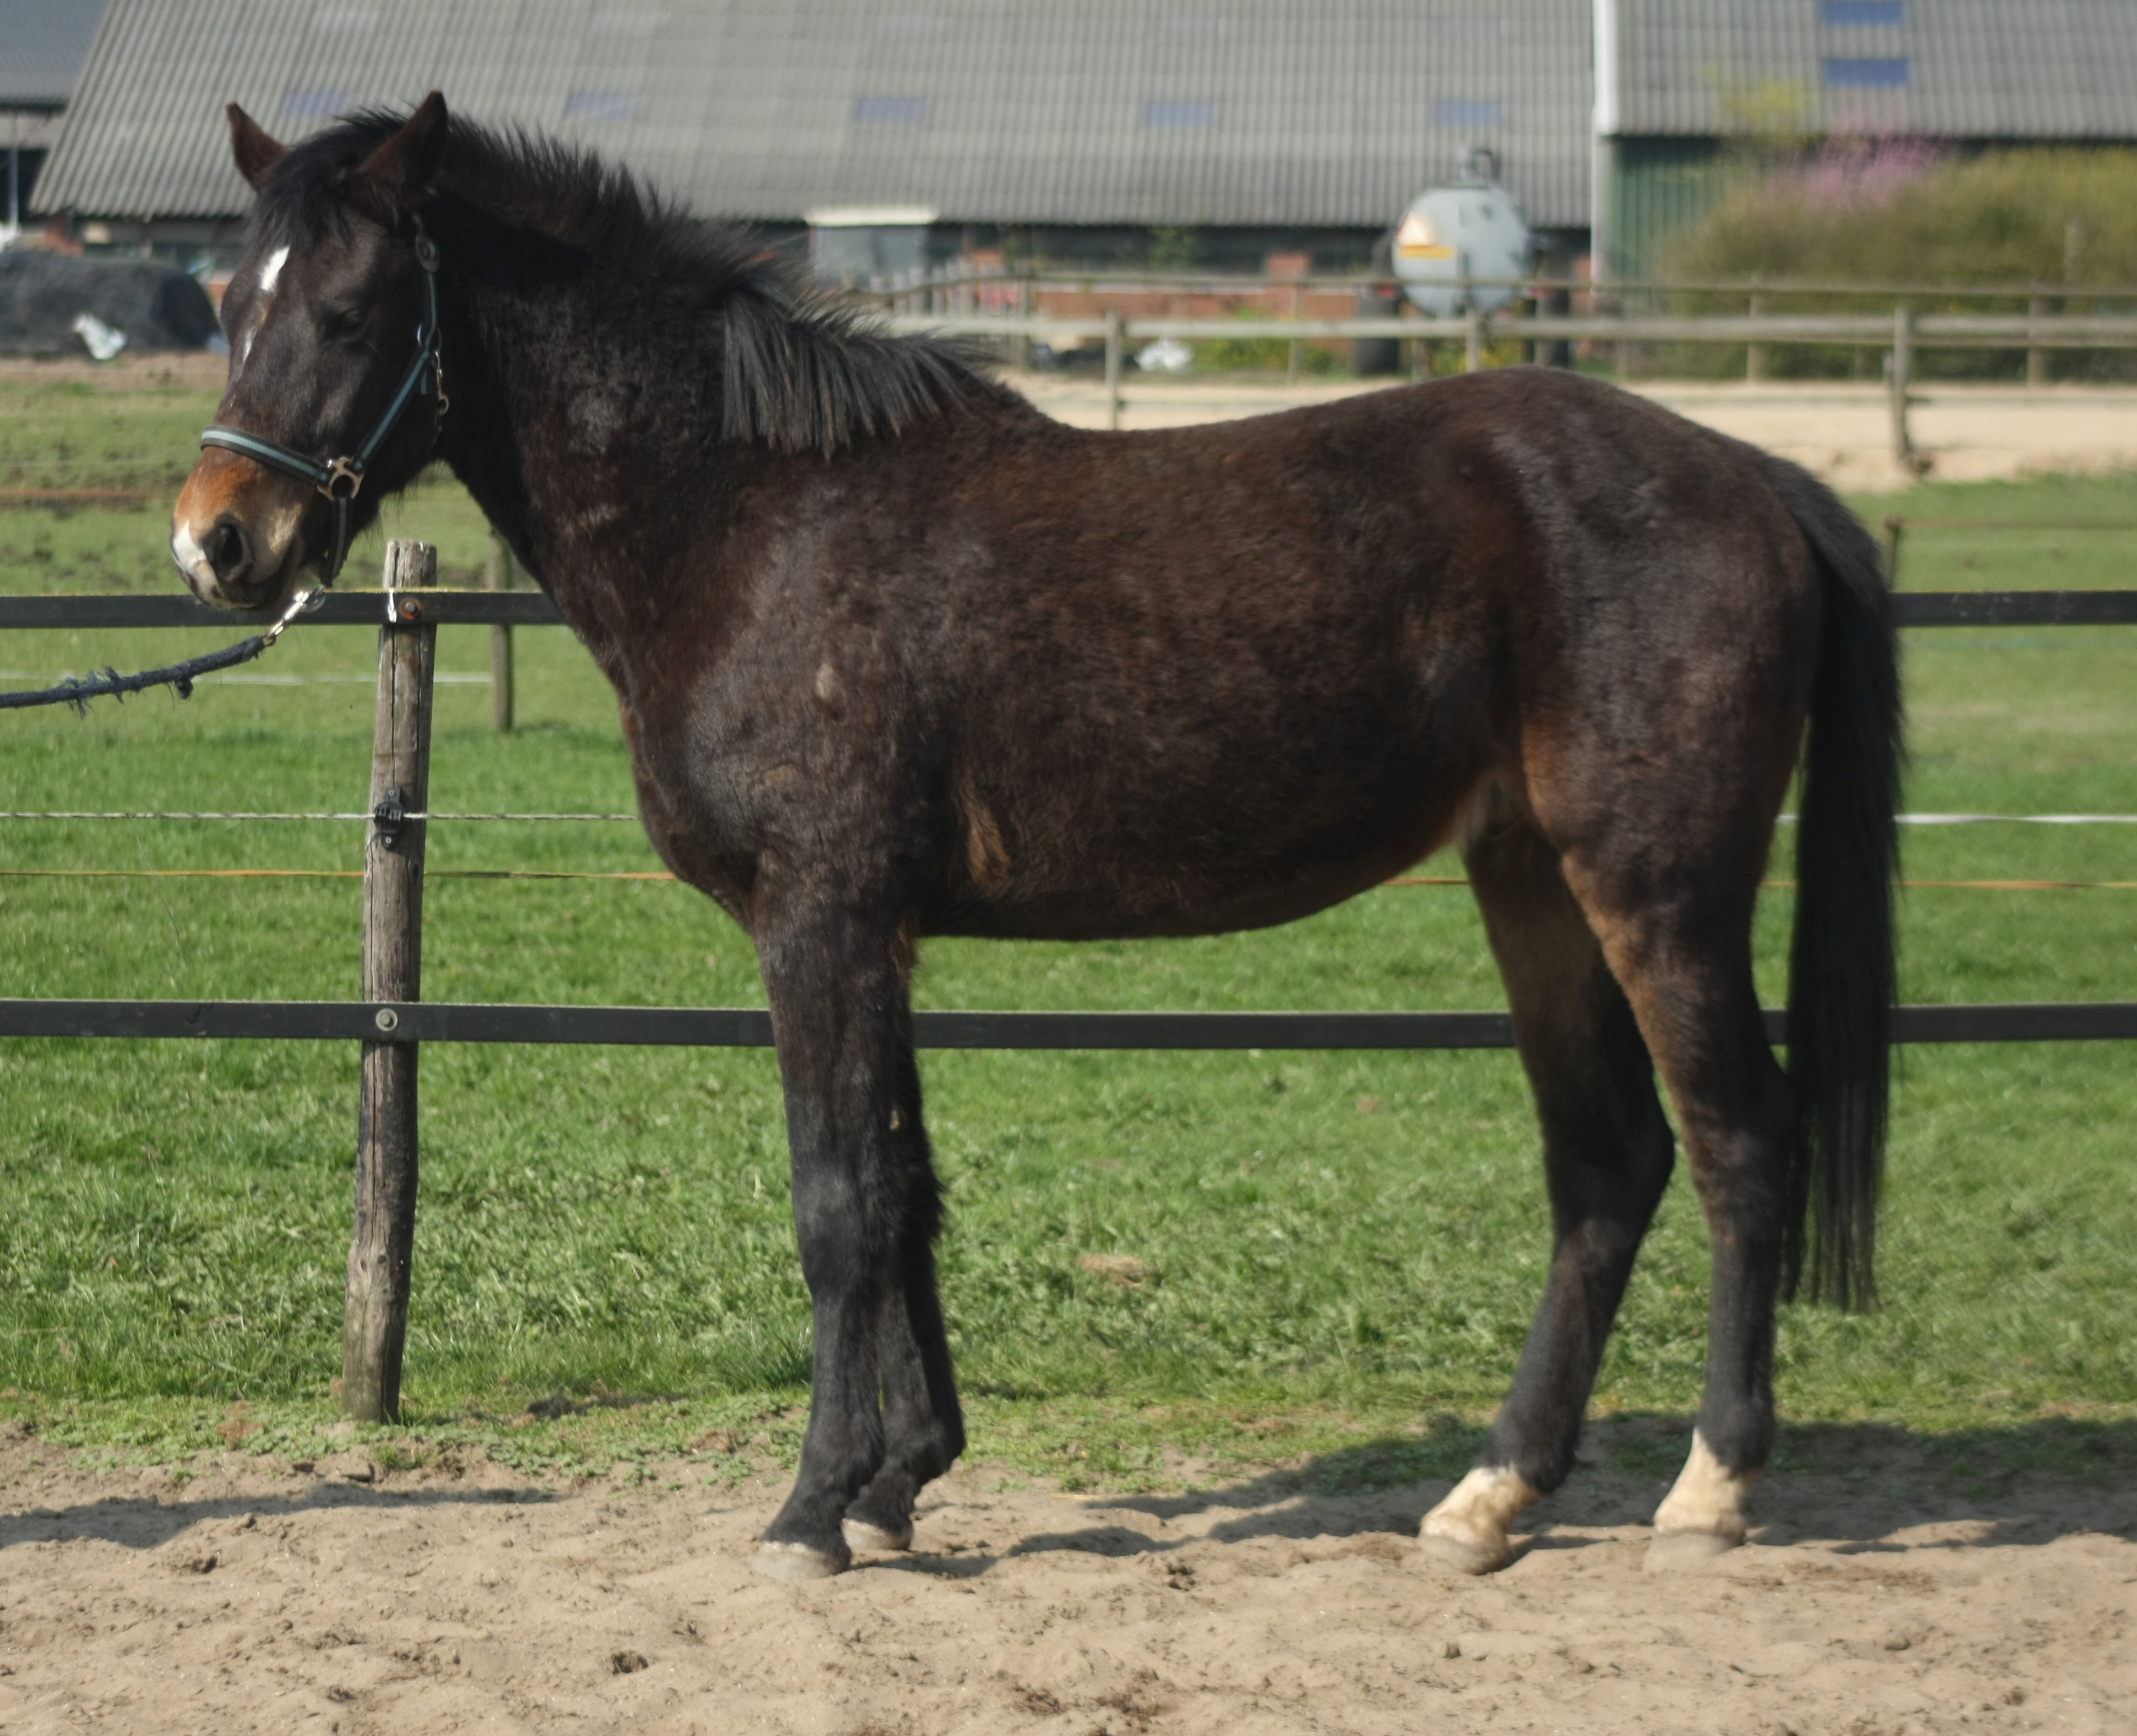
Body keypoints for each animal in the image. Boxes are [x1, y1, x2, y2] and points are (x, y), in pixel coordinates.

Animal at [172, 95, 1901, 1582]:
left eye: (351, 311)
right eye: (227, 298)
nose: (218, 541)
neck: (750, 517)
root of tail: (1752, 475)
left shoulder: (817, 914)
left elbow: (835, 1204)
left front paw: (810, 1509)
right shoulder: (880, 926)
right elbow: (904, 1188)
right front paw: (897, 1481)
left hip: (1657, 890)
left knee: (1735, 1143)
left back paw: (1707, 1485)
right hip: (1528, 882)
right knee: (1604, 1165)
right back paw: (1489, 1495)